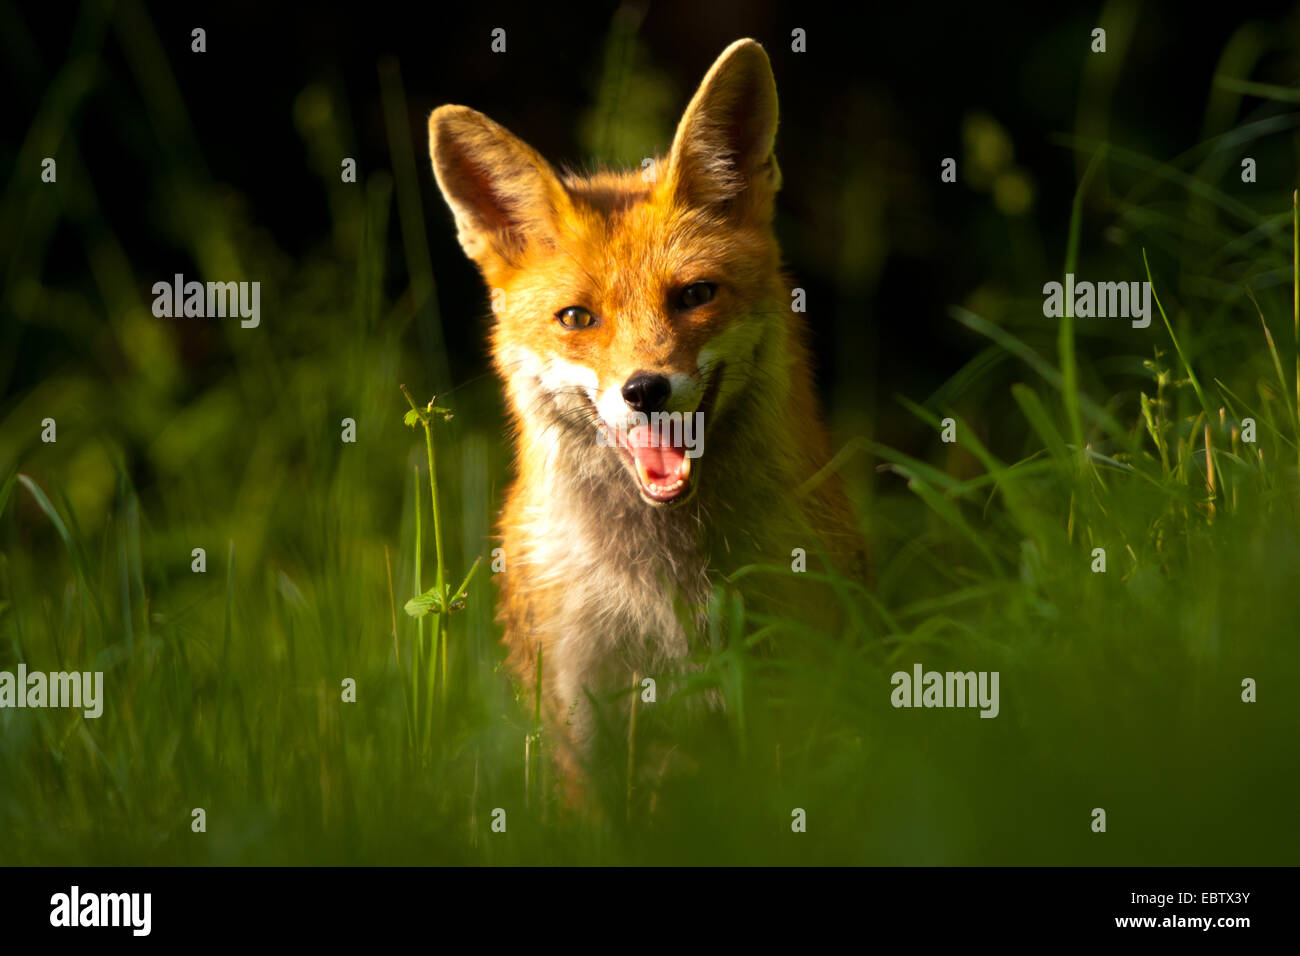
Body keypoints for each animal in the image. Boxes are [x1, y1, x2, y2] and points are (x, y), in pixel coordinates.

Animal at [428, 38, 866, 792]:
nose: (645, 389)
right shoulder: (580, 721)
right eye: (577, 318)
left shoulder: (791, 693)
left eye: (694, 295)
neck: (665, 589)